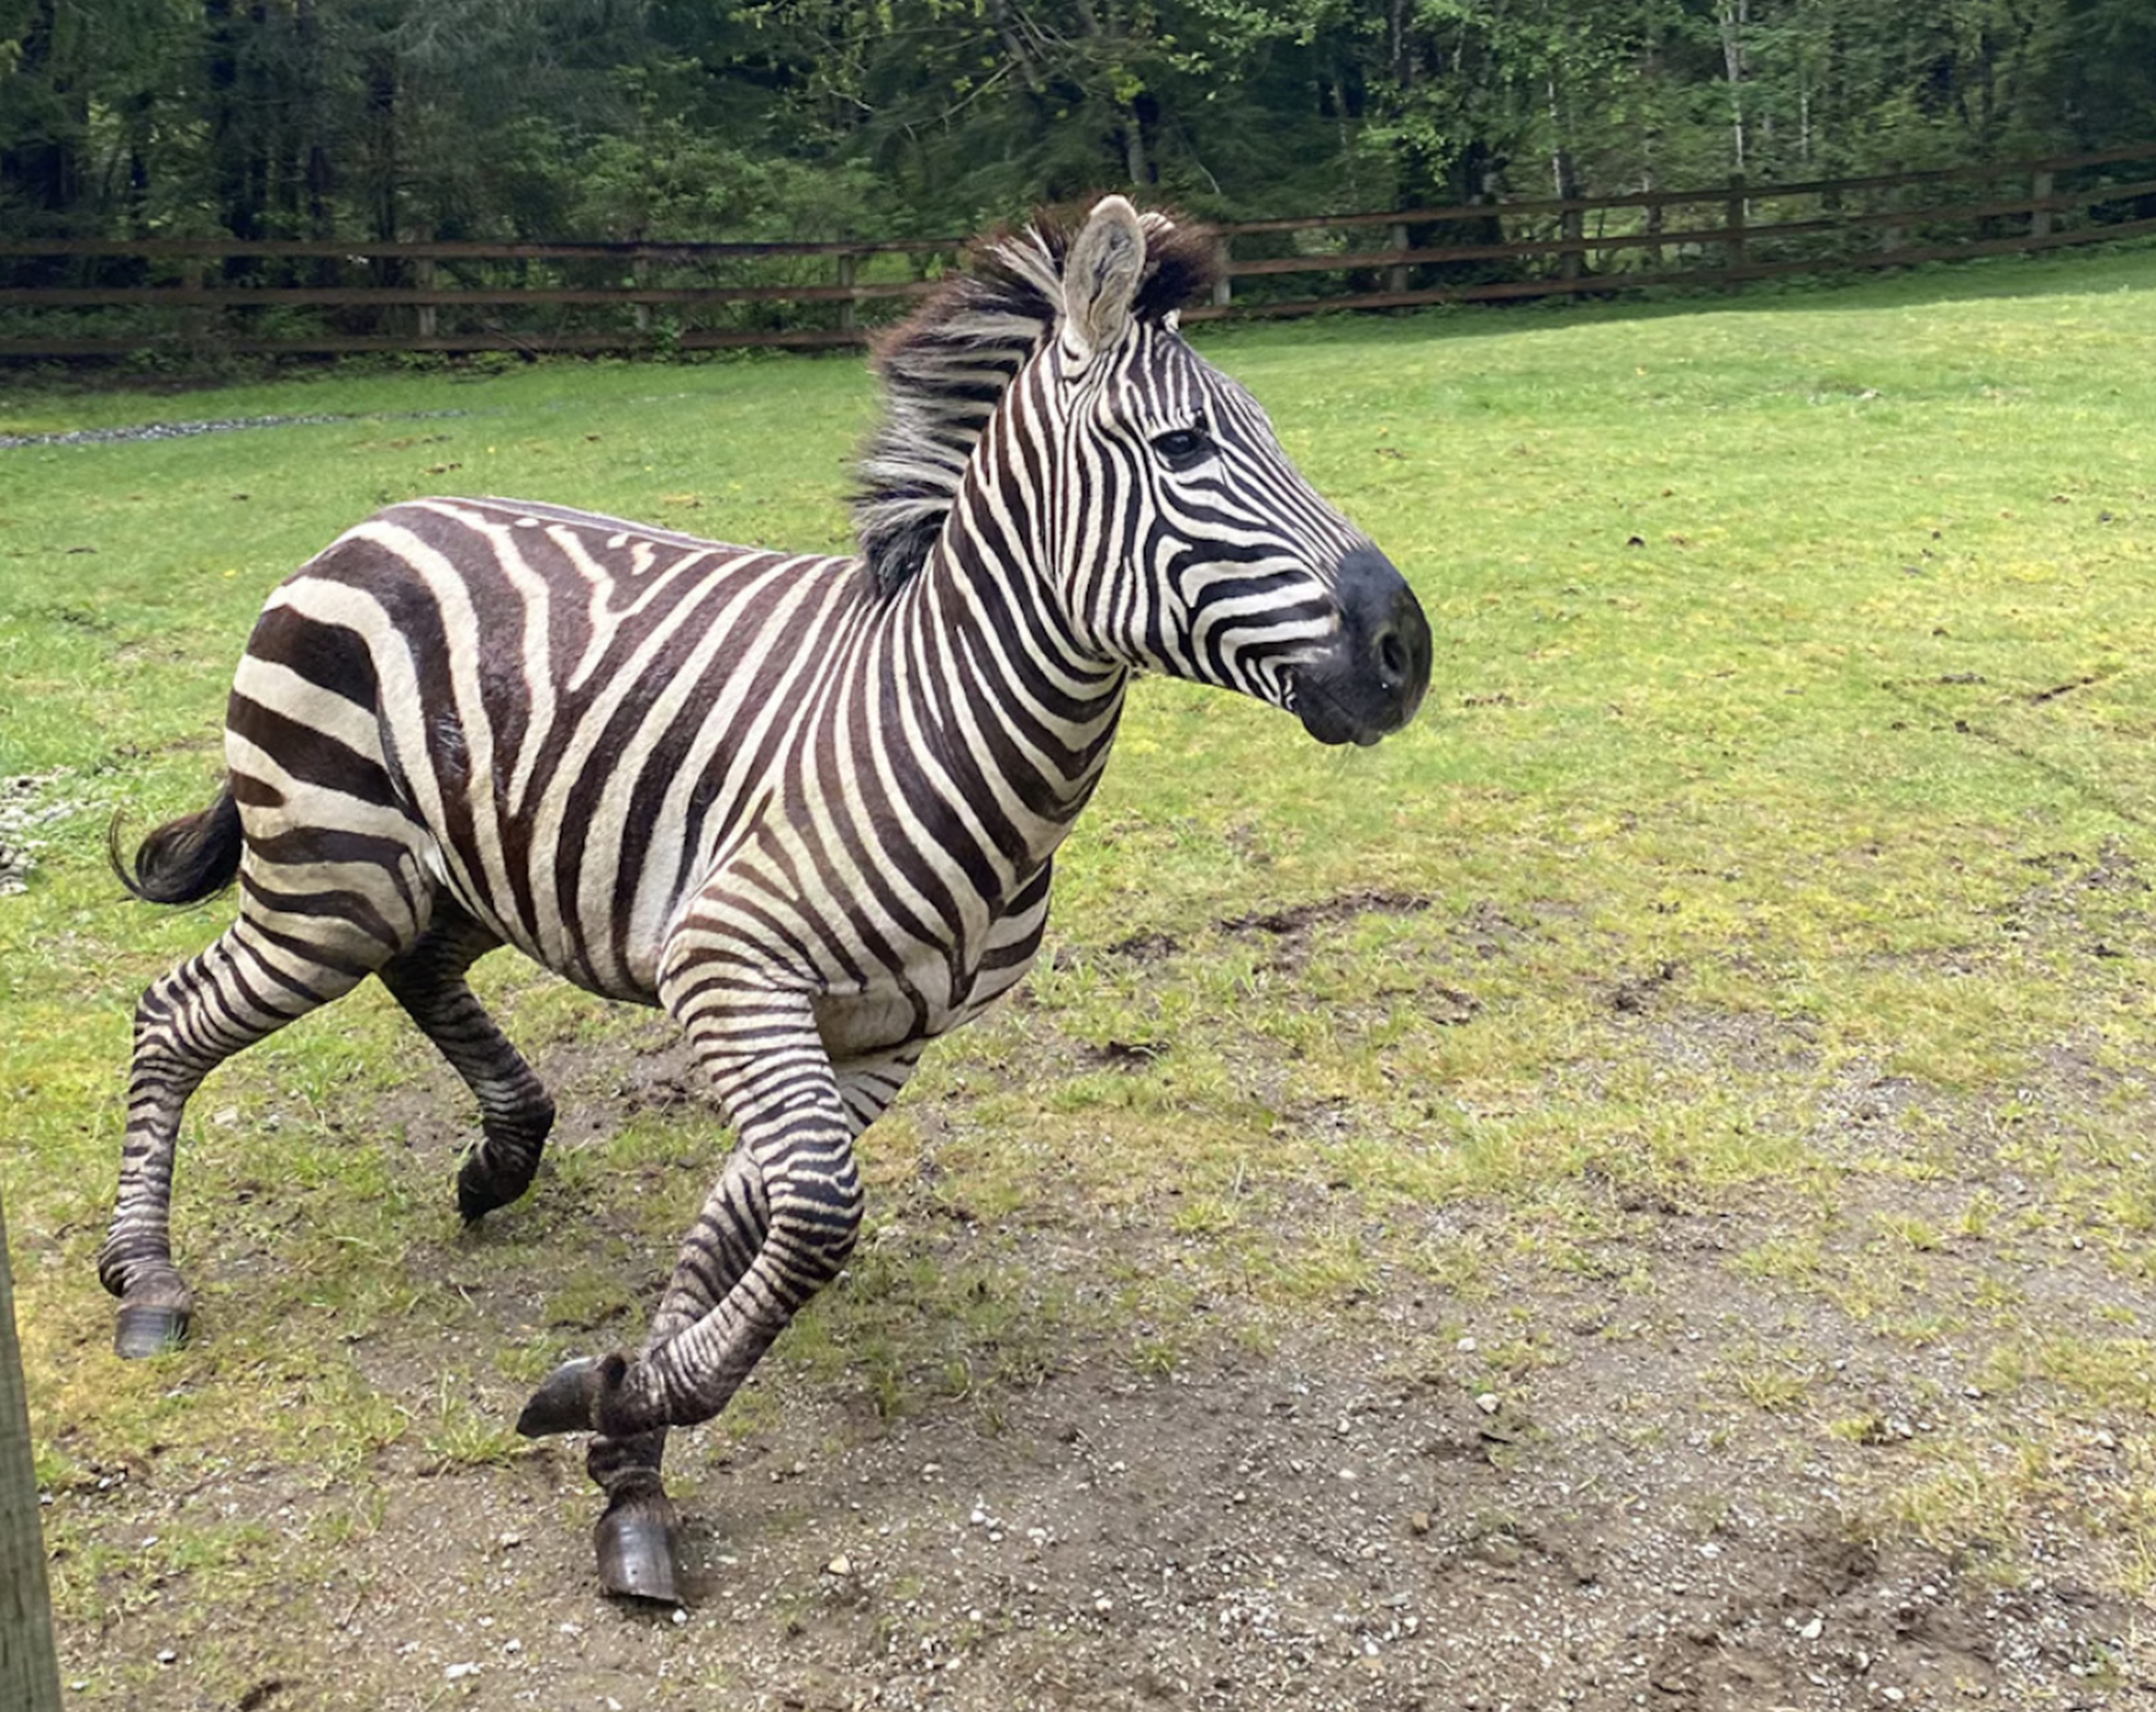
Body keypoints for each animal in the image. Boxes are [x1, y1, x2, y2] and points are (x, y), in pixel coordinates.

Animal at [103, 195, 1432, 1602]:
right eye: (1184, 448)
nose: (1406, 650)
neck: (949, 717)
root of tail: (363, 528)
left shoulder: (884, 1034)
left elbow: (762, 1207)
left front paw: (629, 1431)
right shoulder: (729, 965)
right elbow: (820, 1208)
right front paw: (626, 1404)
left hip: (468, 863)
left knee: (418, 970)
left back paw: (499, 1158)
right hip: (329, 875)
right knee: (172, 1015)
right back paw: (147, 1280)